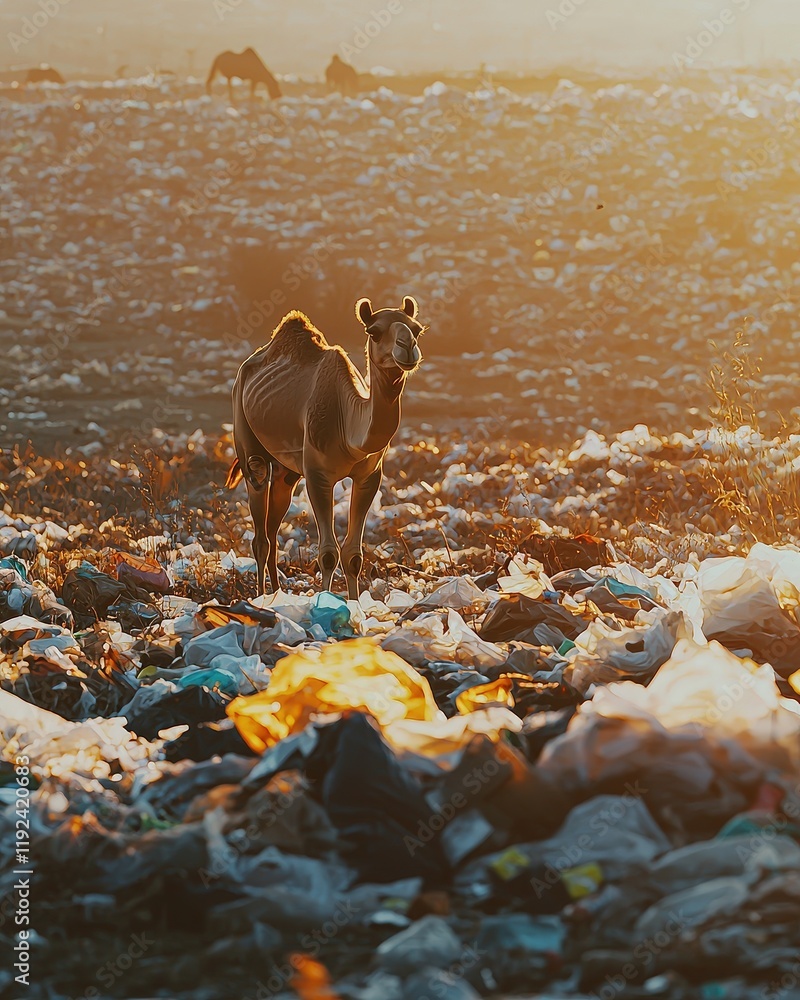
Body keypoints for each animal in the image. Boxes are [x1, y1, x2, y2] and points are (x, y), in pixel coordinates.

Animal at [226, 296, 426, 599]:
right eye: (374, 332)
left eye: (416, 329)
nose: (407, 348)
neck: (350, 428)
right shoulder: (318, 476)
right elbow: (329, 554)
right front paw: (327, 600)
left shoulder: (369, 476)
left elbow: (353, 555)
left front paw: (356, 604)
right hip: (248, 441)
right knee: (260, 530)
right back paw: (261, 596)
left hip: (287, 471)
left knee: (273, 530)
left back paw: (276, 593)